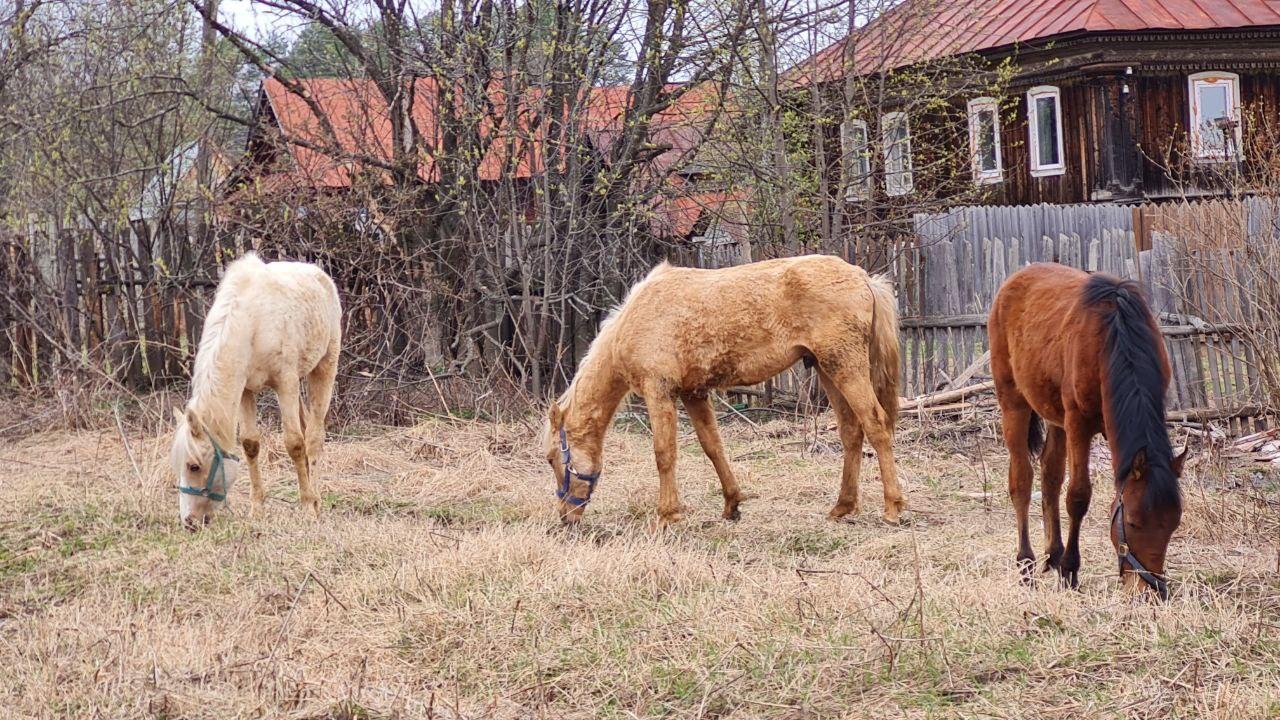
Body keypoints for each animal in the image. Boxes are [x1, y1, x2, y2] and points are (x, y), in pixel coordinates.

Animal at [170, 252, 343, 527]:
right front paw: (257, 509)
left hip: (325, 366)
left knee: (314, 436)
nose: (189, 522)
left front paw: (307, 506)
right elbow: (250, 444)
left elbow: (295, 443)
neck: (251, 323)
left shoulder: (286, 384)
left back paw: (315, 502)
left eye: (194, 466)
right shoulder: (245, 391)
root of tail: (320, 275)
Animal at [545, 254, 906, 525]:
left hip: (845, 366)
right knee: (851, 432)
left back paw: (893, 508)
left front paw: (667, 515)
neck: (637, 319)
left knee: (876, 425)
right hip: (827, 369)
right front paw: (732, 504)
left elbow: (664, 453)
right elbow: (712, 447)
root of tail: (863, 277)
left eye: (552, 459)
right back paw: (842, 506)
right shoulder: (693, 393)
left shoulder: (658, 390)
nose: (565, 517)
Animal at [988, 260, 1187, 597]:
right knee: (1022, 480)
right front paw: (1070, 571)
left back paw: (1053, 554)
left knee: (1050, 474)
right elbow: (1078, 496)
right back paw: (1026, 565)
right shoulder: (1078, 424)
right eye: (1132, 522)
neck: (1114, 338)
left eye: (1173, 523)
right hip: (1013, 401)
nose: (1149, 593)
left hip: (1054, 415)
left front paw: (1063, 564)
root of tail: (1014, 280)